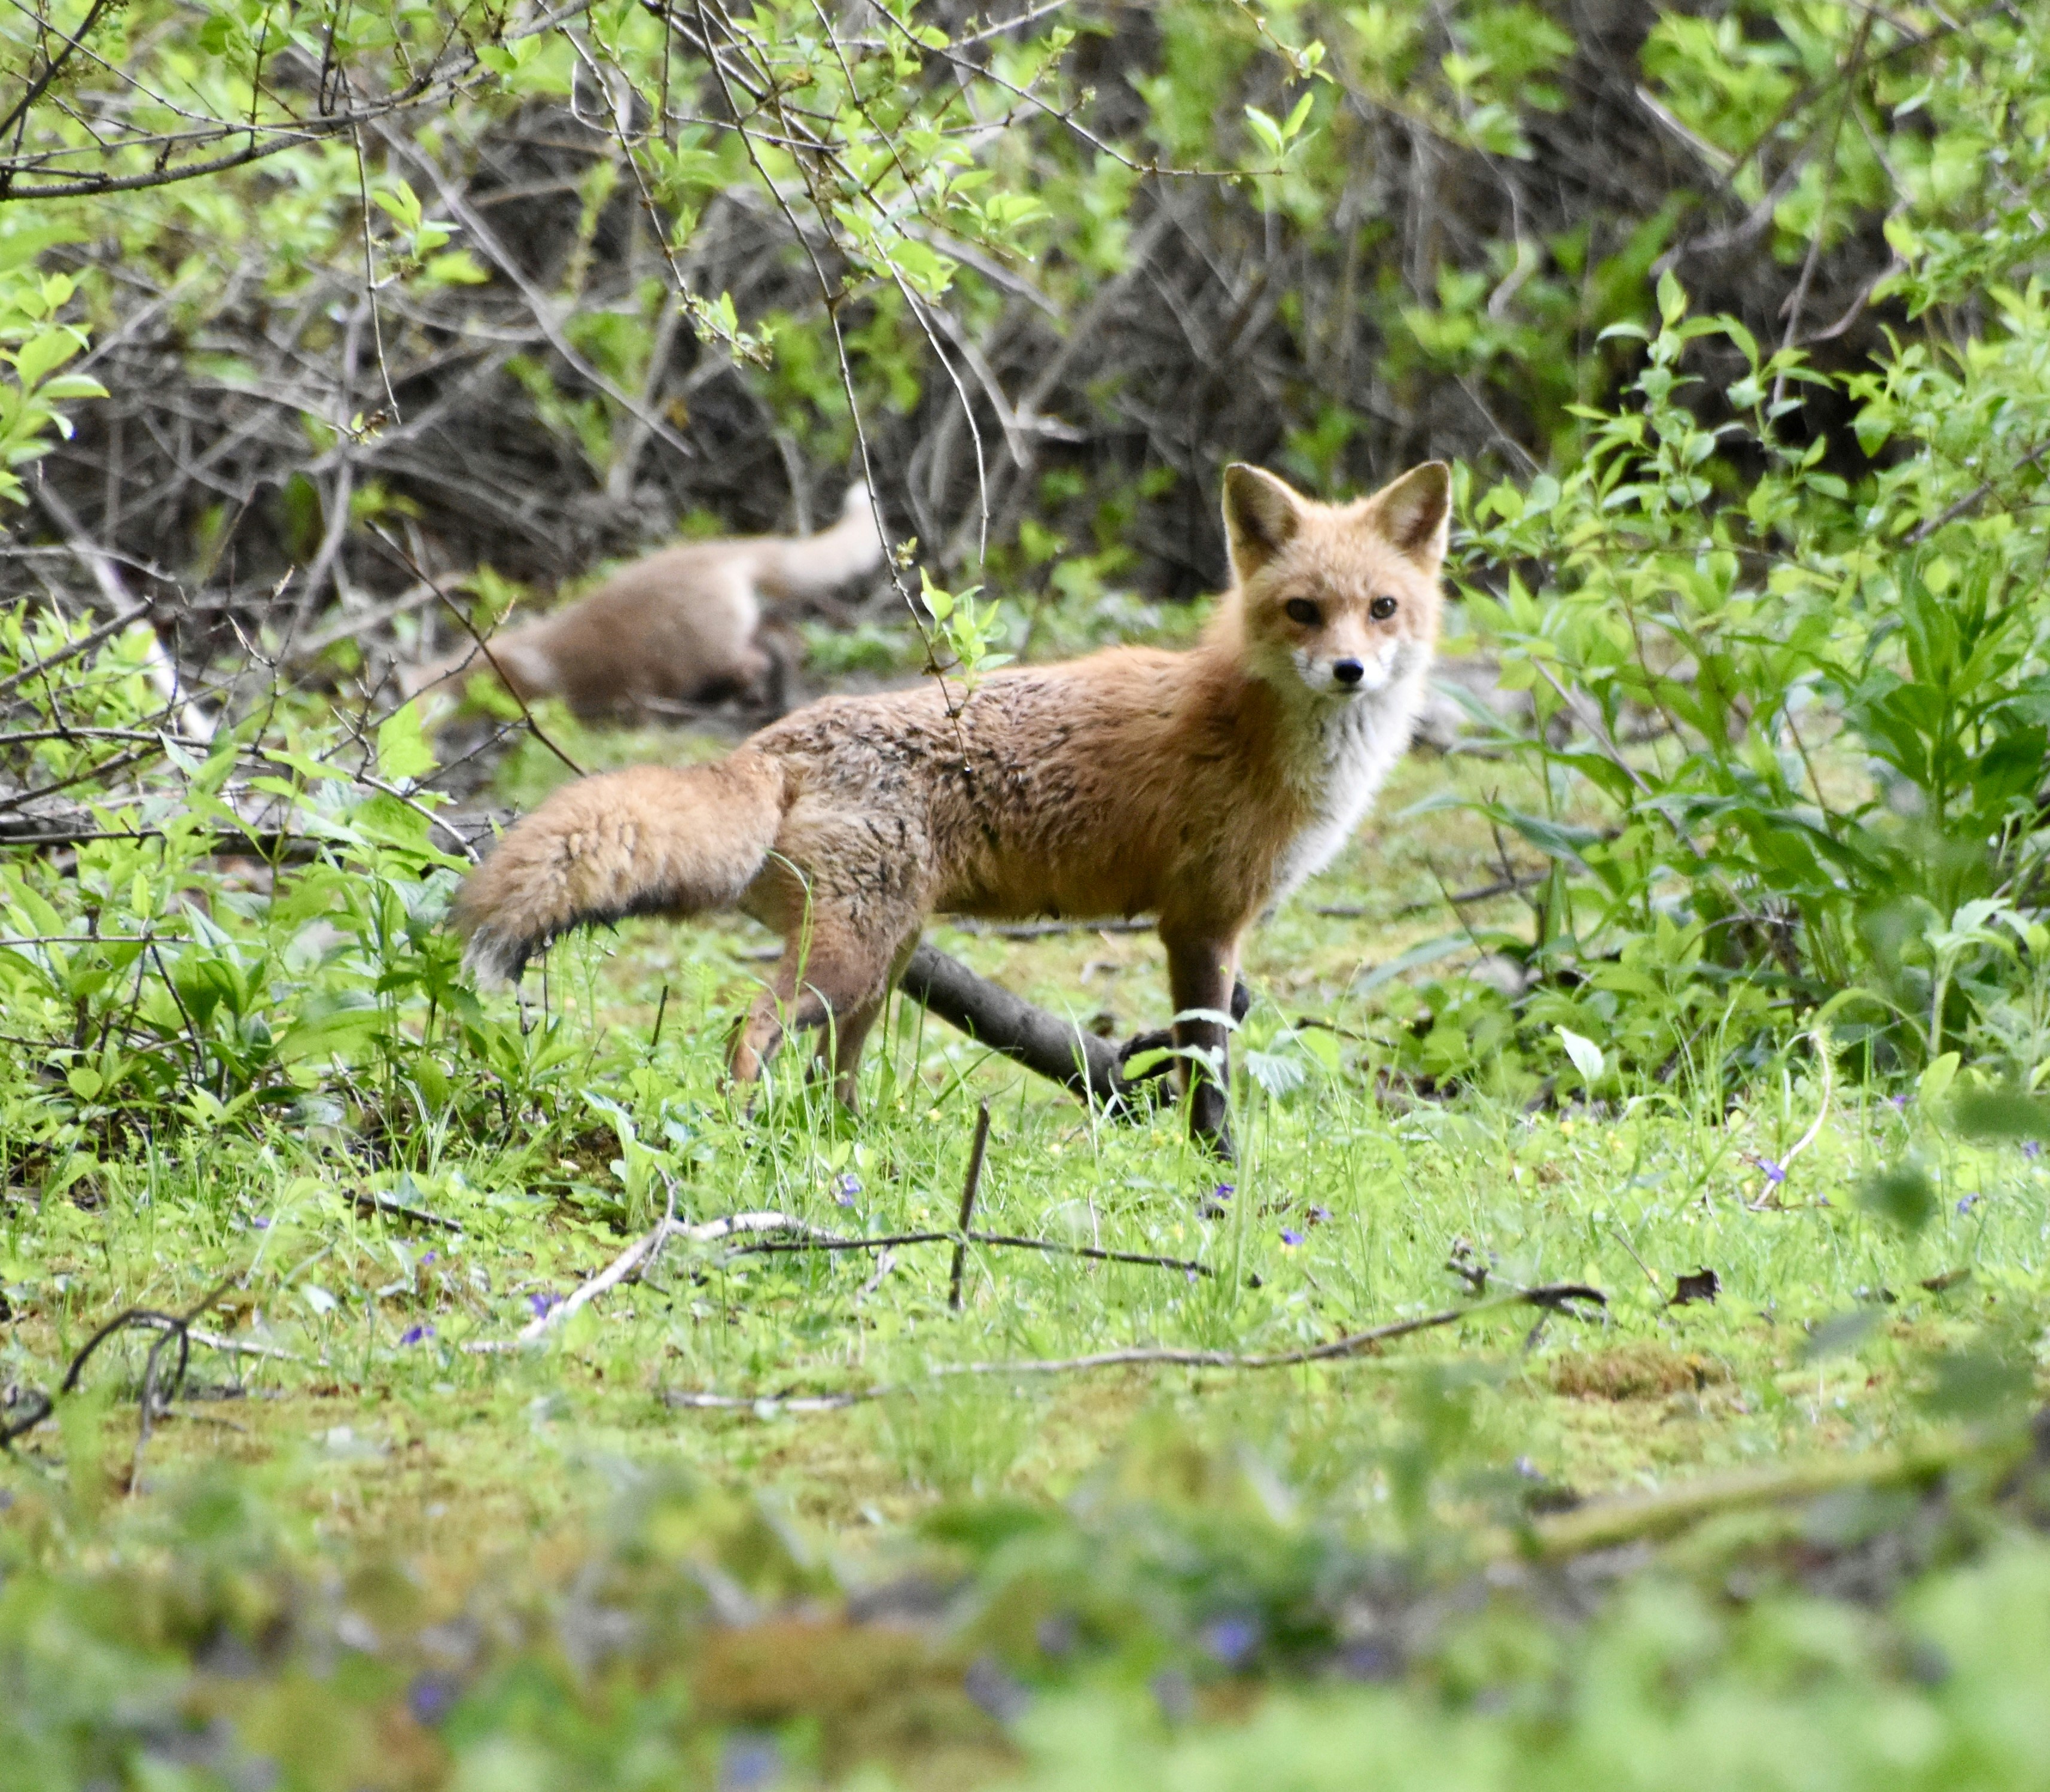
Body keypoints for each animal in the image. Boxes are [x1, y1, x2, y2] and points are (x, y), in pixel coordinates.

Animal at [452, 461, 1449, 1155]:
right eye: (1302, 611)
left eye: (1381, 608)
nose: (1349, 671)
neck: (1258, 732)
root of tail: (770, 743)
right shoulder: (1199, 923)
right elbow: (1210, 1073)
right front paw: (1217, 1172)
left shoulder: (1212, 931)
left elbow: (1215, 1036)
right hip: (849, 959)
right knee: (751, 1033)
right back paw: (732, 1138)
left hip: (880, 959)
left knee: (826, 1075)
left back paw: (853, 1150)